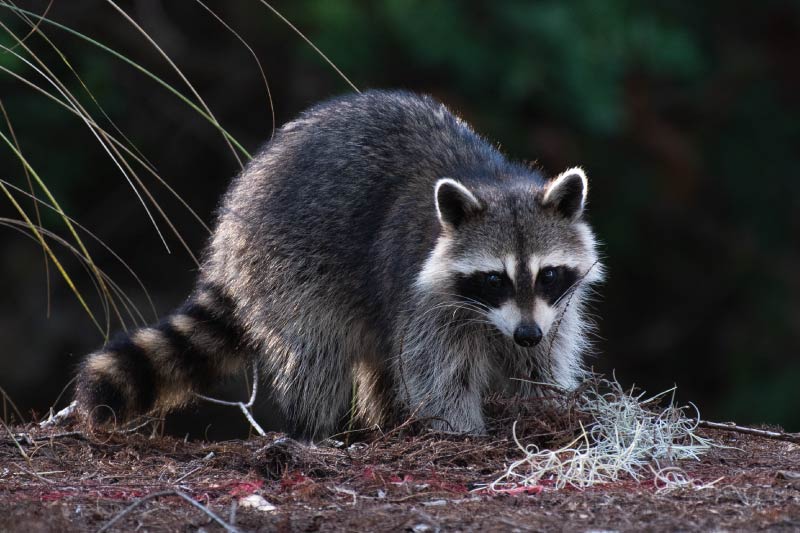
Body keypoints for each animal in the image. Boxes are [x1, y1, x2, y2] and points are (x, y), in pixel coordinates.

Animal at [76, 90, 604, 439]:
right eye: (494, 279)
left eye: (547, 274)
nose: (526, 333)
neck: (493, 181)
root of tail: (232, 220)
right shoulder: (423, 294)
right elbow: (438, 372)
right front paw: (460, 431)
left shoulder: (552, 309)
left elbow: (541, 359)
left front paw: (545, 407)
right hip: (288, 265)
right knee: (317, 352)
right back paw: (314, 431)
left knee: (381, 359)